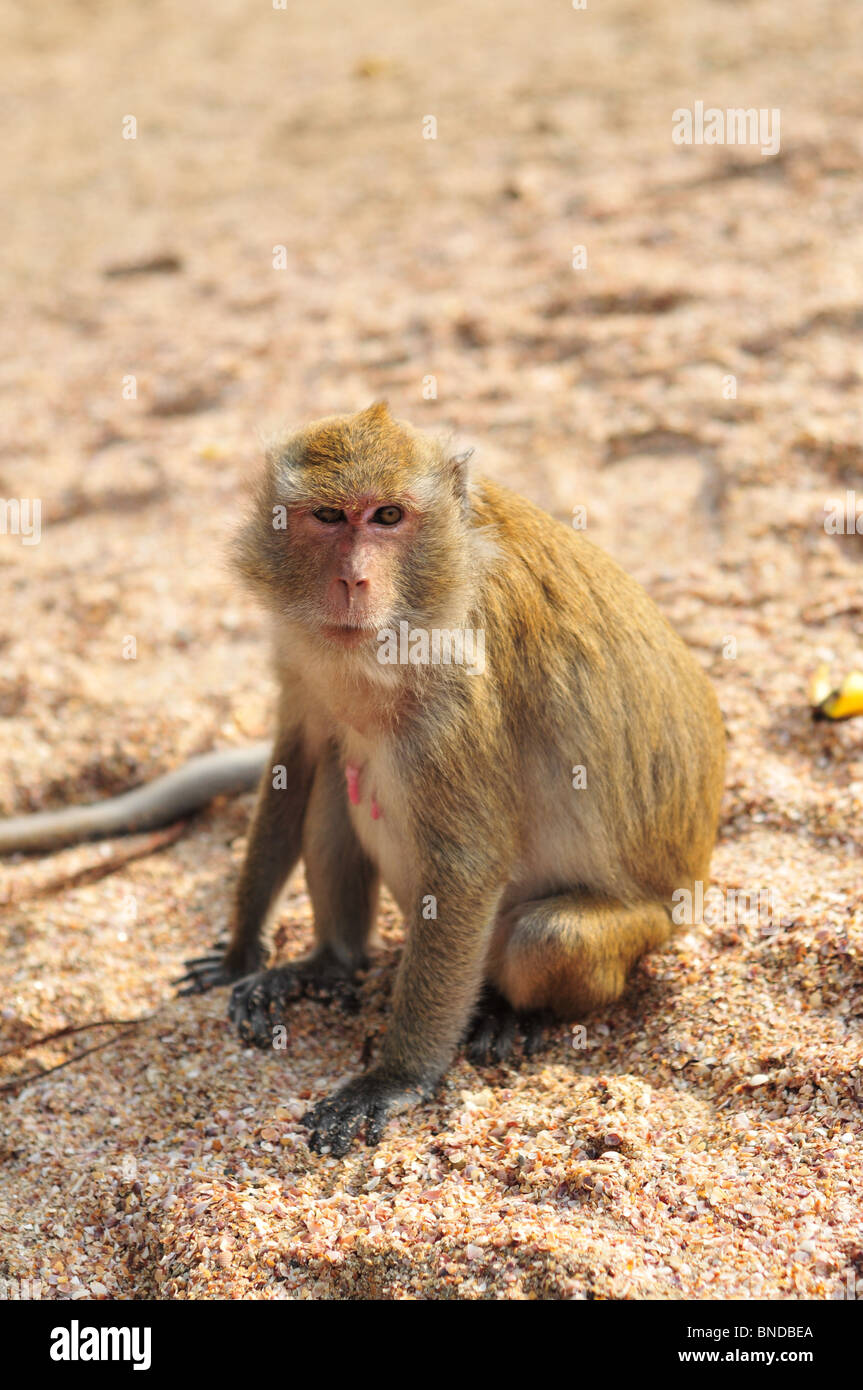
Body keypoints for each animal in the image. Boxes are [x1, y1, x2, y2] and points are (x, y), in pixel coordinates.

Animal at [0, 402, 725, 1156]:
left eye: (387, 516)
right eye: (327, 516)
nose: (352, 581)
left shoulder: (455, 685)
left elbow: (466, 868)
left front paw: (396, 1078)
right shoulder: (299, 649)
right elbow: (294, 762)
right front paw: (241, 954)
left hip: (635, 933)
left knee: (547, 935)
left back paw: (511, 1012)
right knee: (337, 777)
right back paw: (330, 963)